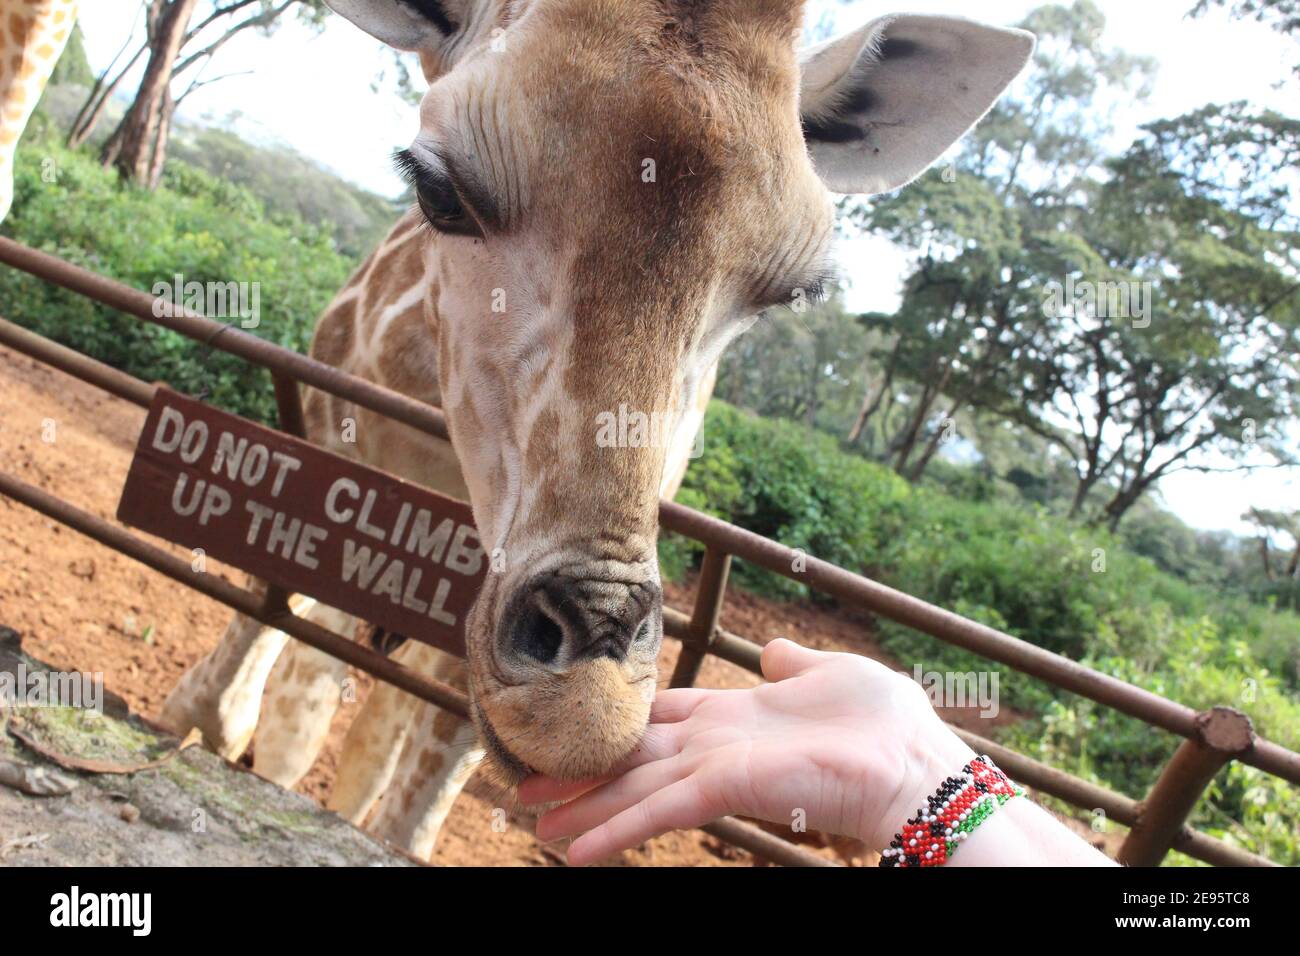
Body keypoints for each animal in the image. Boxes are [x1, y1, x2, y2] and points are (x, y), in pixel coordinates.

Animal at [160, 0, 1034, 860]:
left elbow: (412, 774)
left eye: (791, 291)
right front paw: (204, 721)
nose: (587, 703)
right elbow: (282, 673)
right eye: (438, 190)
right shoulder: (337, 442)